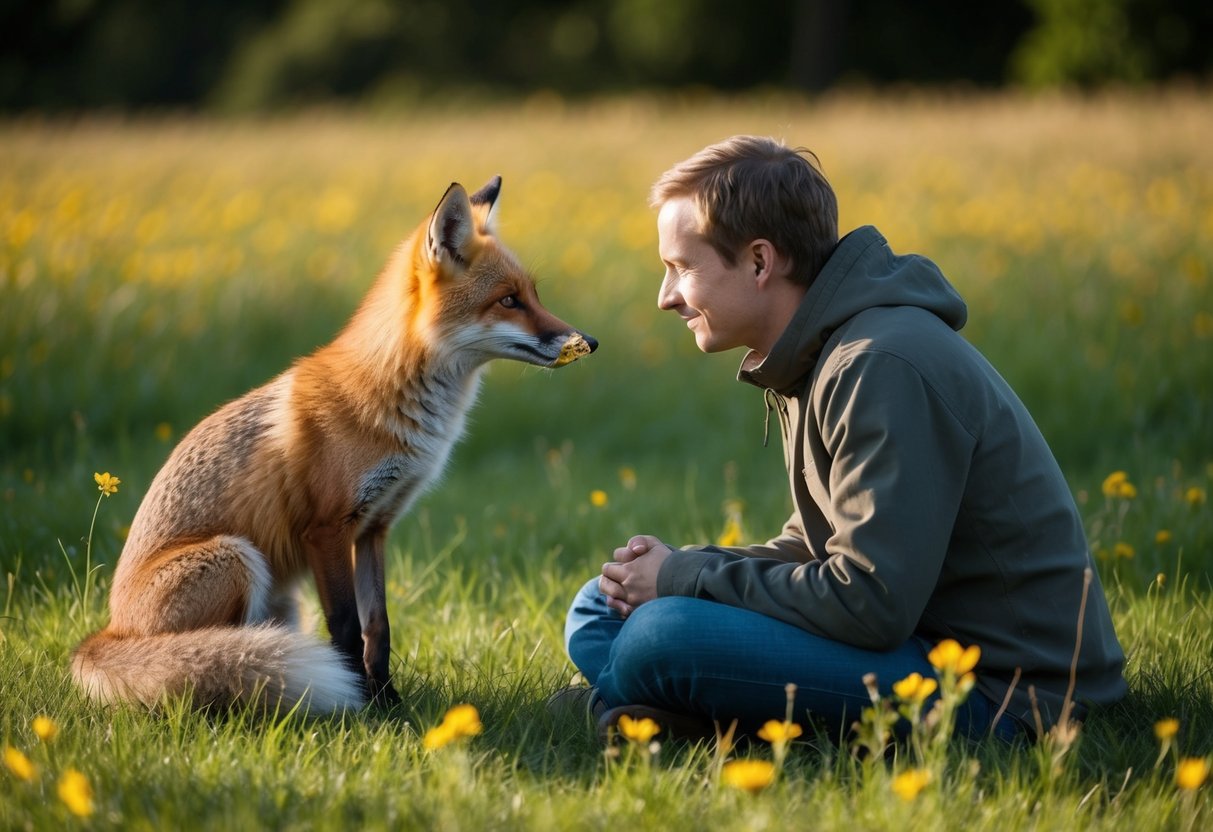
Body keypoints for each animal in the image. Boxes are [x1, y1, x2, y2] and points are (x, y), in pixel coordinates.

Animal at [70, 176, 597, 714]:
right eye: (508, 300)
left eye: (534, 294)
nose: (589, 341)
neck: (397, 402)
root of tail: (107, 634)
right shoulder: (326, 528)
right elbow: (345, 627)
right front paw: (362, 706)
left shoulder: (375, 527)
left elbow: (378, 628)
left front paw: (390, 703)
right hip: (237, 557)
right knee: (213, 657)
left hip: (282, 598)